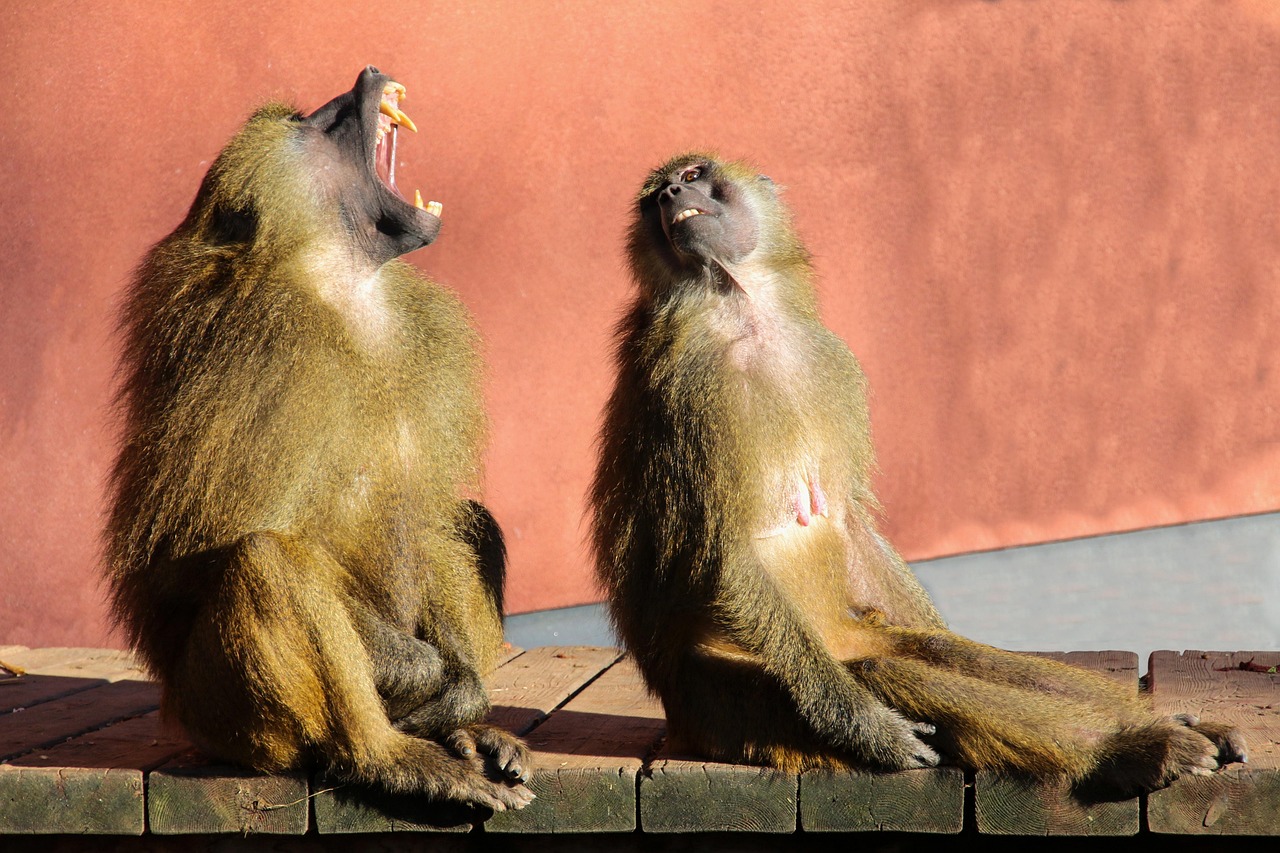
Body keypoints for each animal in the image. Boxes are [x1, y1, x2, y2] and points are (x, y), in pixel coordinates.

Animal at [105, 66, 532, 811]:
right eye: (316, 122)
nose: (367, 76)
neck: (339, 281)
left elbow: (429, 517)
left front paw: (461, 697)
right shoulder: (262, 350)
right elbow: (193, 552)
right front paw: (422, 675)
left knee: (472, 520)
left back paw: (465, 733)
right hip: (226, 718)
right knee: (265, 558)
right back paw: (388, 755)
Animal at [590, 152, 1247, 799]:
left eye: (693, 176)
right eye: (654, 200)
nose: (671, 193)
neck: (745, 309)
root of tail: (678, 717)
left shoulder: (830, 359)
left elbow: (850, 521)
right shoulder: (692, 389)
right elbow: (721, 556)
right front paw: (866, 728)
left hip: (850, 632)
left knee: (943, 656)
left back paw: (1163, 728)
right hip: (738, 704)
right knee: (881, 670)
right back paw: (1135, 750)